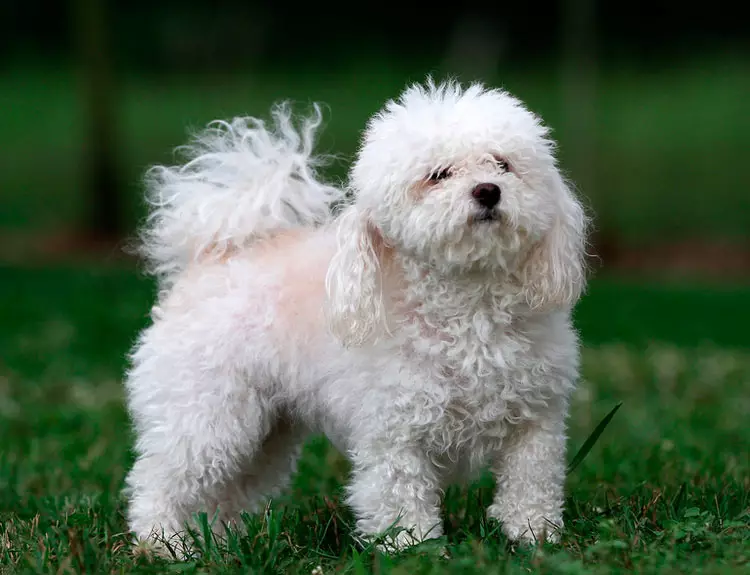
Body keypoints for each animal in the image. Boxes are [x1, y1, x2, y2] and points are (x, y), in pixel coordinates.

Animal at [123, 79, 592, 556]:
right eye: (438, 175)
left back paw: (214, 544)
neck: (470, 302)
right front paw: (411, 548)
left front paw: (535, 536)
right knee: (159, 481)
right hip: (207, 412)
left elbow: (531, 481)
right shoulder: (394, 428)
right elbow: (399, 492)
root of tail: (213, 254)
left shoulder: (536, 420)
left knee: (225, 492)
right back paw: (164, 542)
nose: (488, 191)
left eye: (503, 164)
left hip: (264, 431)